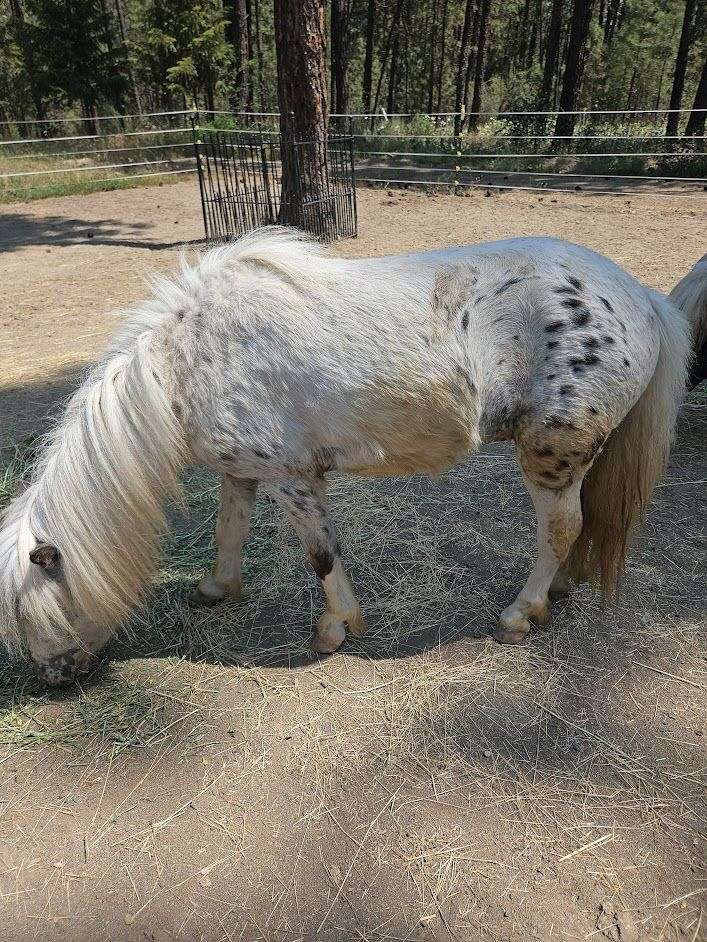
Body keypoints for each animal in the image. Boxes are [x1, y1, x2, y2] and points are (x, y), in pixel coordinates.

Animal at [0, 228, 695, 686]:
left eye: (36, 609)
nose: (51, 678)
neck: (187, 359)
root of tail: (641, 298)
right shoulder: (242, 471)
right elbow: (230, 528)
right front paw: (217, 588)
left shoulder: (291, 477)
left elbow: (320, 553)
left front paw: (336, 629)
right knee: (578, 527)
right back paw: (563, 586)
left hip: (550, 452)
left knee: (560, 527)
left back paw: (520, 614)